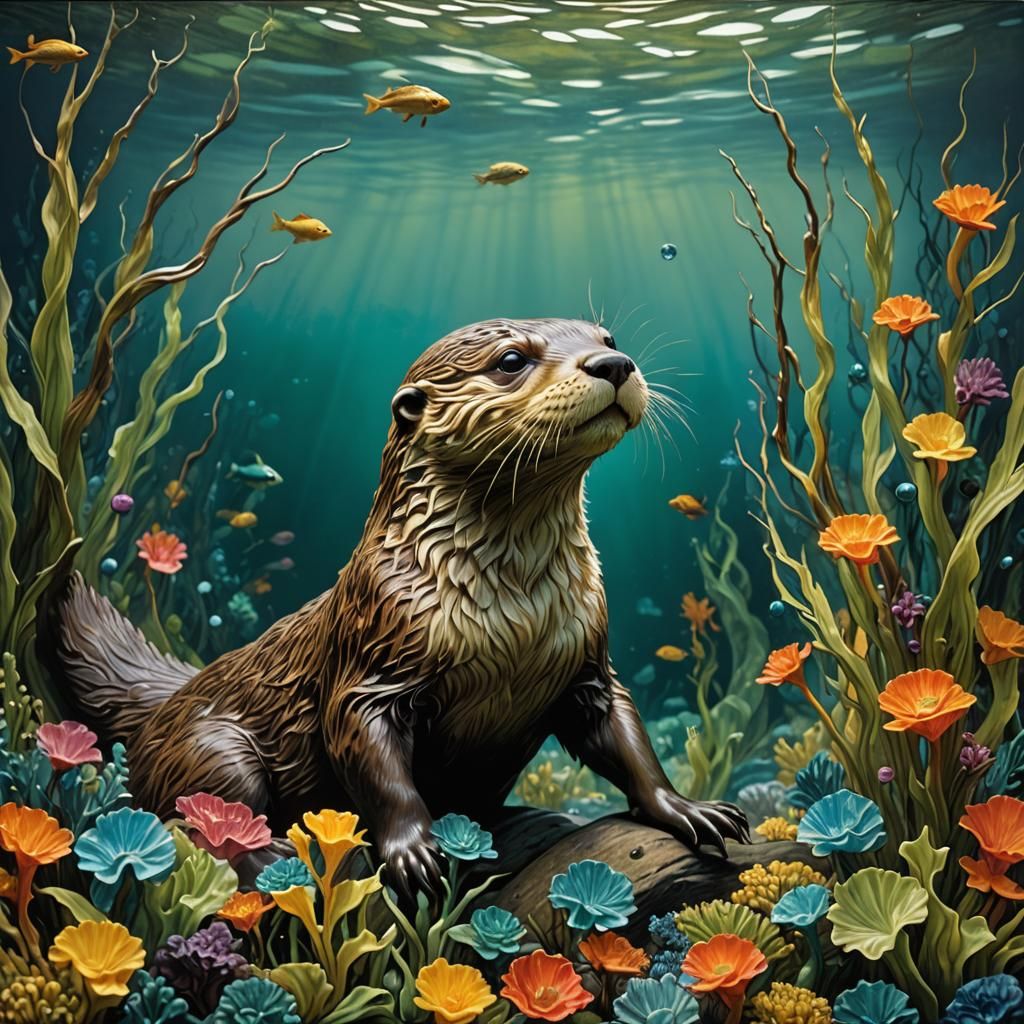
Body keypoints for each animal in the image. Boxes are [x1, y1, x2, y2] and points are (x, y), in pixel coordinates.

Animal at [57, 318, 748, 898]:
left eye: (606, 336)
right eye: (511, 360)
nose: (614, 363)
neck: (515, 612)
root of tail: (171, 698)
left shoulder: (587, 662)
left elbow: (627, 739)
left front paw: (687, 809)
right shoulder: (374, 656)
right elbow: (377, 767)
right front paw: (414, 849)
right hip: (211, 747)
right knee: (195, 814)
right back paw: (271, 858)